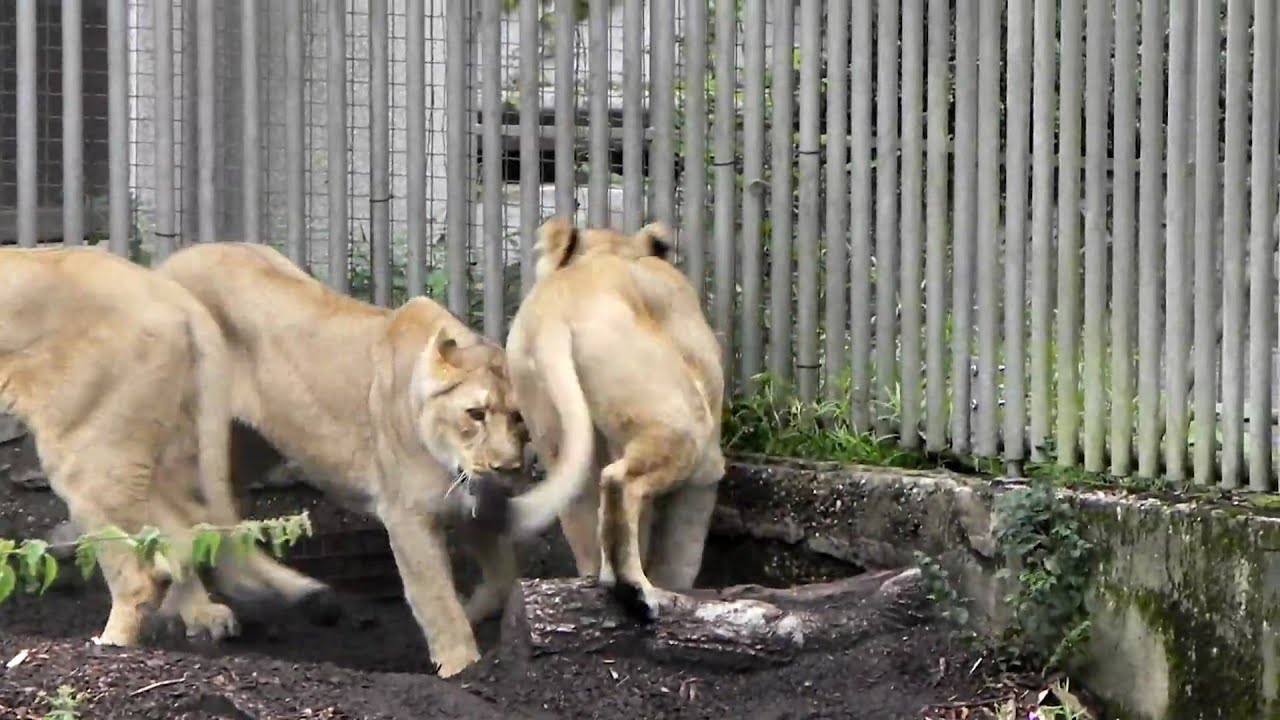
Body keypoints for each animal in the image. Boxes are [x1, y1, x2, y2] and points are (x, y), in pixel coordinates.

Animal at [0, 245, 310, 648]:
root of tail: (170, 293)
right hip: (148, 452)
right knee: (185, 534)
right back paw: (205, 619)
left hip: (89, 455)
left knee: (141, 572)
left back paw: (111, 644)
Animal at [154, 241, 535, 678]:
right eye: (475, 414)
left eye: (520, 418)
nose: (507, 469)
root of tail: (166, 264)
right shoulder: (407, 515)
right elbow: (436, 599)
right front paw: (463, 667)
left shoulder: (472, 500)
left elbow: (503, 575)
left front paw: (478, 614)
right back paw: (200, 612)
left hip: (240, 451)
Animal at [482, 216, 726, 622]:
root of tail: (557, 306)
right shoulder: (706, 470)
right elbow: (682, 550)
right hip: (679, 419)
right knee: (619, 482)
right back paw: (635, 591)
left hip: (558, 435)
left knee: (586, 519)